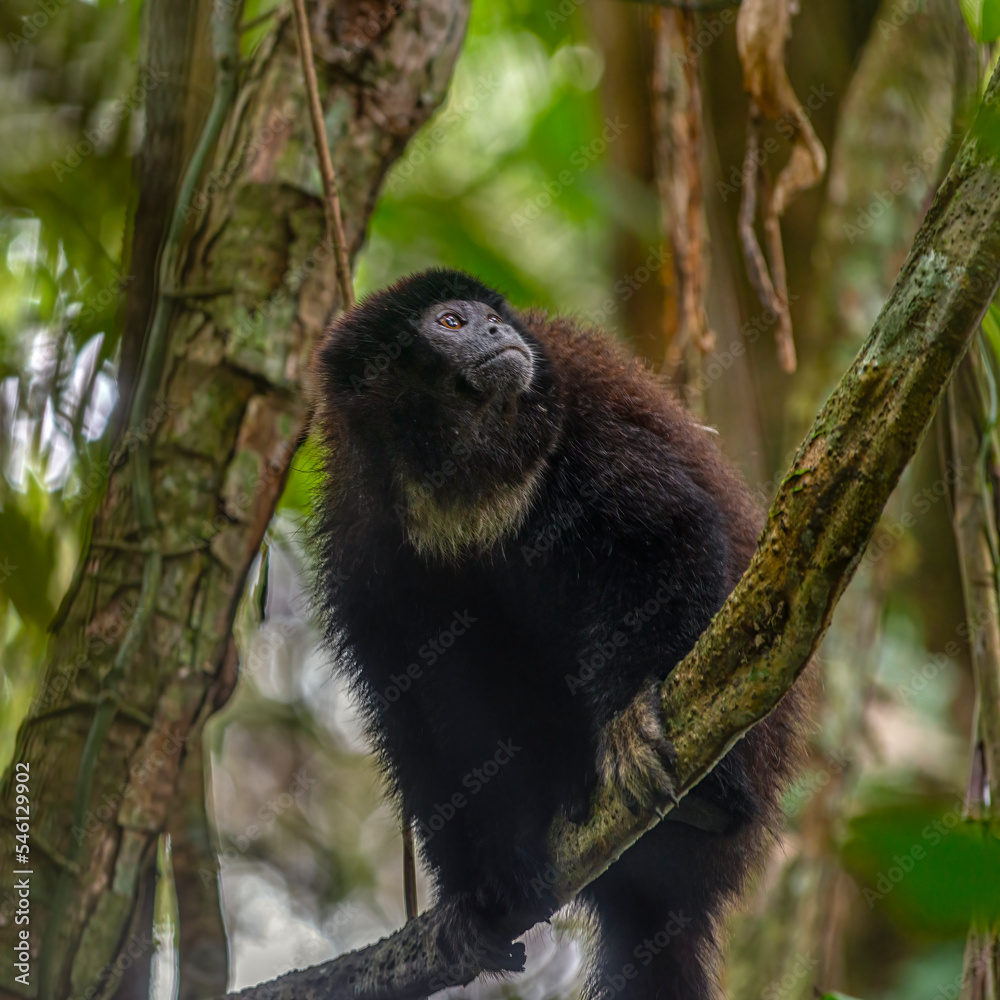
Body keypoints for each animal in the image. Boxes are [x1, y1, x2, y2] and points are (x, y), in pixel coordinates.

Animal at [309, 268, 805, 1000]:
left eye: (488, 316)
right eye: (451, 322)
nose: (495, 328)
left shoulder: (581, 416)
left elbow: (667, 532)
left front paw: (628, 715)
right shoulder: (359, 541)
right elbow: (412, 700)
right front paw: (478, 887)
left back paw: (711, 802)